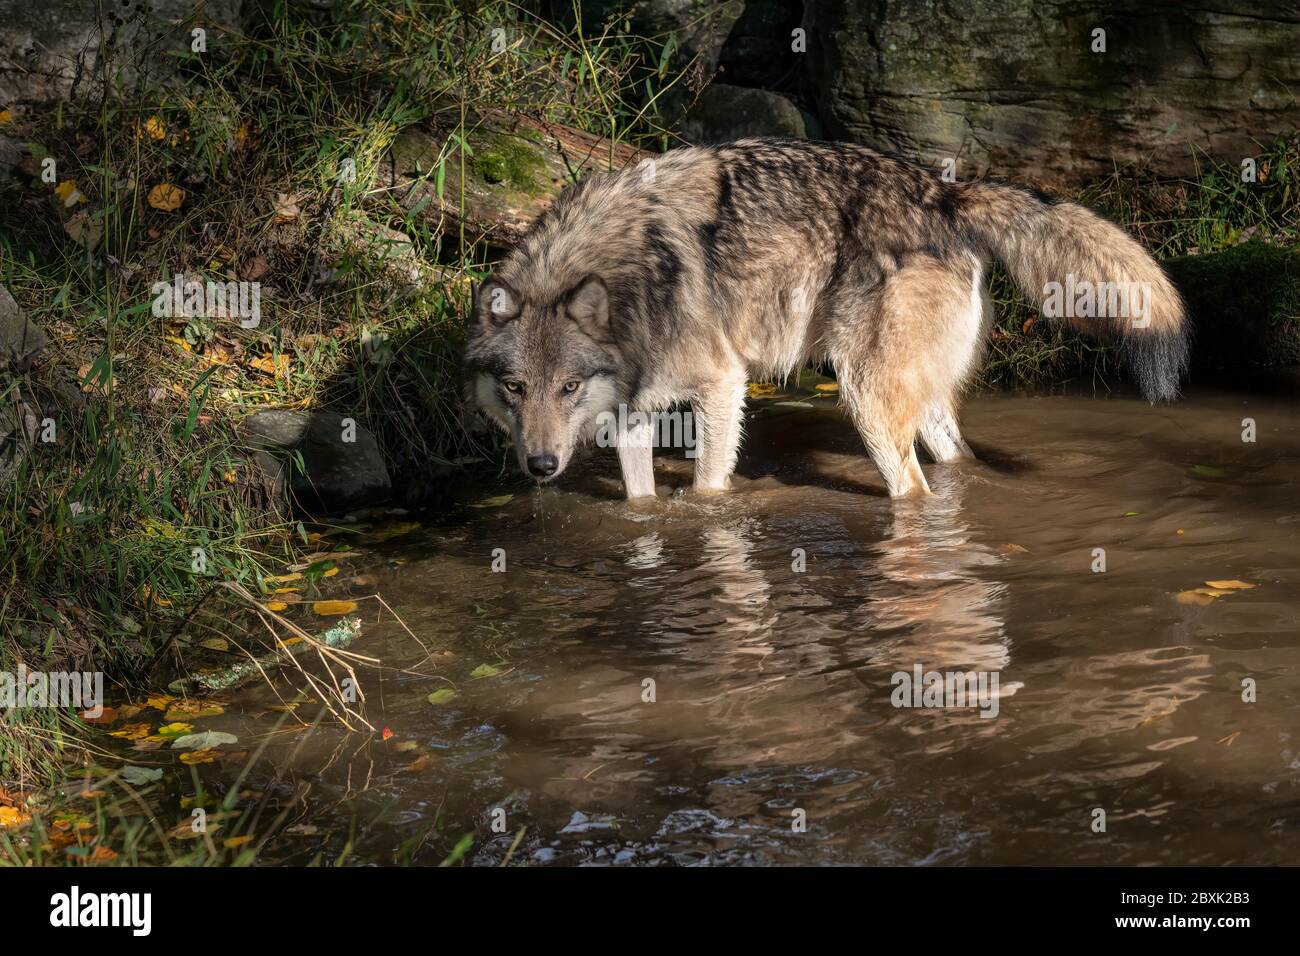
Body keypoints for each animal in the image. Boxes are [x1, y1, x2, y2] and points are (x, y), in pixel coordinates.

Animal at [464, 138, 1188, 499]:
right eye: (516, 388)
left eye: (568, 387)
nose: (540, 466)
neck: (630, 272)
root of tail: (944, 191)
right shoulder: (635, 411)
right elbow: (642, 504)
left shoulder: (723, 386)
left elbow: (706, 493)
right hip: (917, 402)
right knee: (957, 460)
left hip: (864, 398)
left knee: (913, 491)